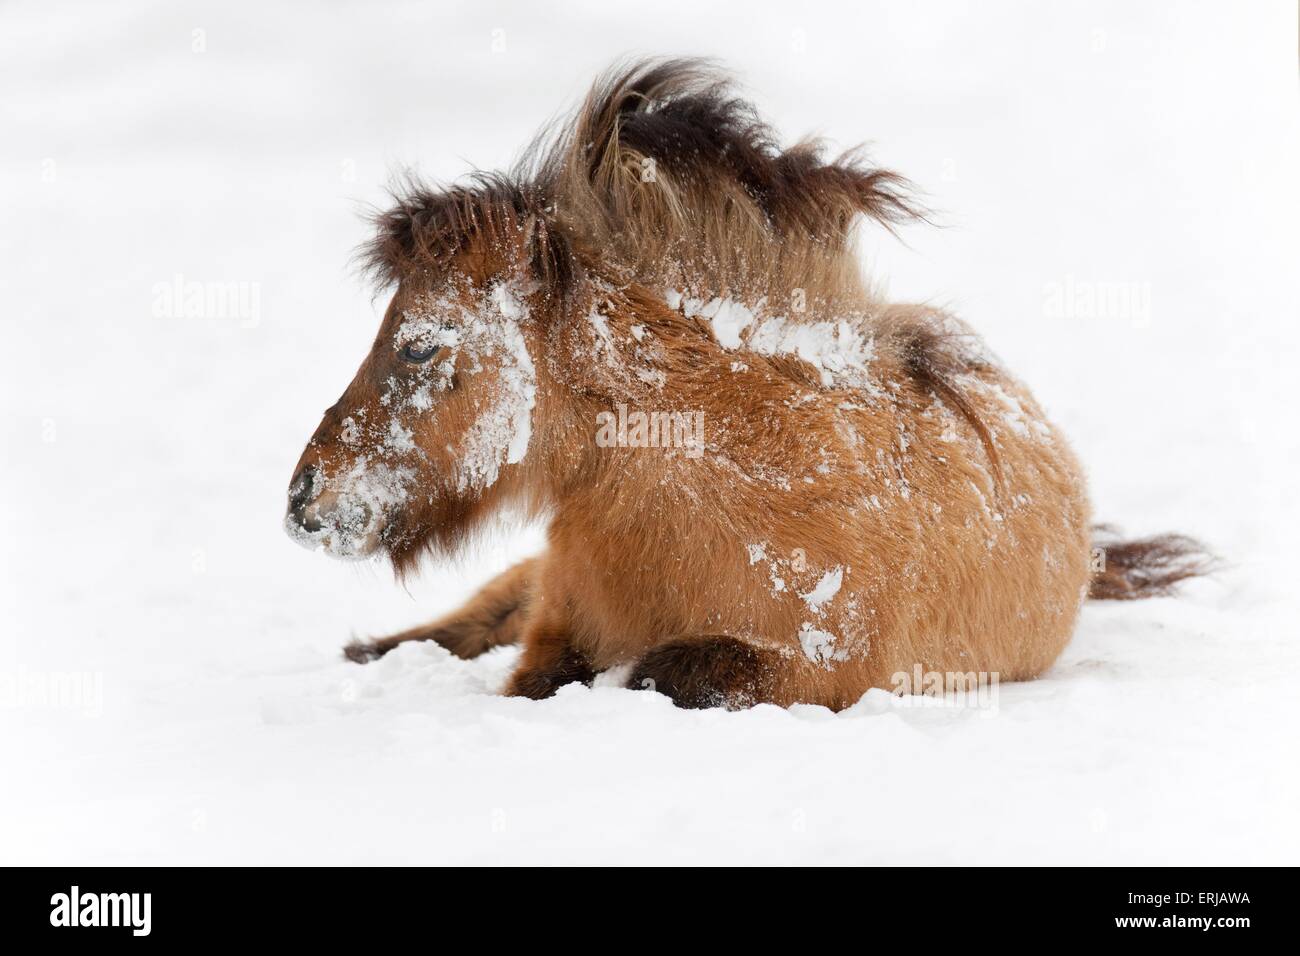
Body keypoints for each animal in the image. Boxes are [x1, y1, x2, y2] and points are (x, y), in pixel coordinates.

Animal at [285, 59, 1209, 709]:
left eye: (418, 347)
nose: (303, 500)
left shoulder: (811, 671)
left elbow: (668, 674)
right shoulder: (558, 621)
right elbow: (539, 674)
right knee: (468, 621)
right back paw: (373, 649)